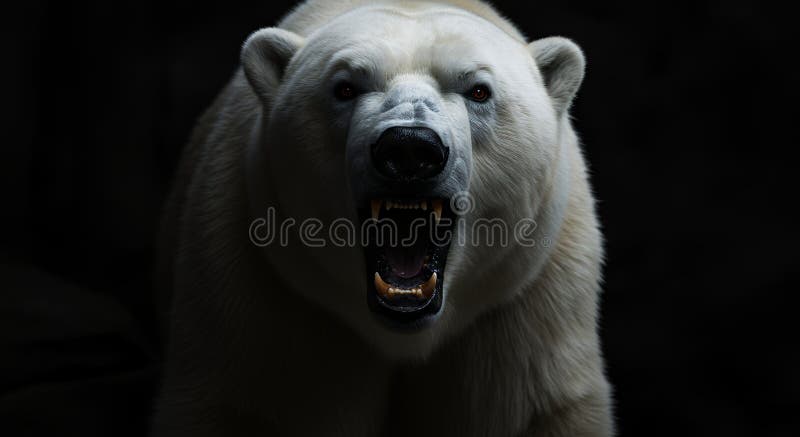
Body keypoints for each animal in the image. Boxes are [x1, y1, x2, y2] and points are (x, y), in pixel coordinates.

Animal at [152, 0, 614, 436]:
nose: (410, 147)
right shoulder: (264, 296)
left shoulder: (521, 308)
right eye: (345, 87)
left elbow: (536, 411)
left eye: (479, 91)